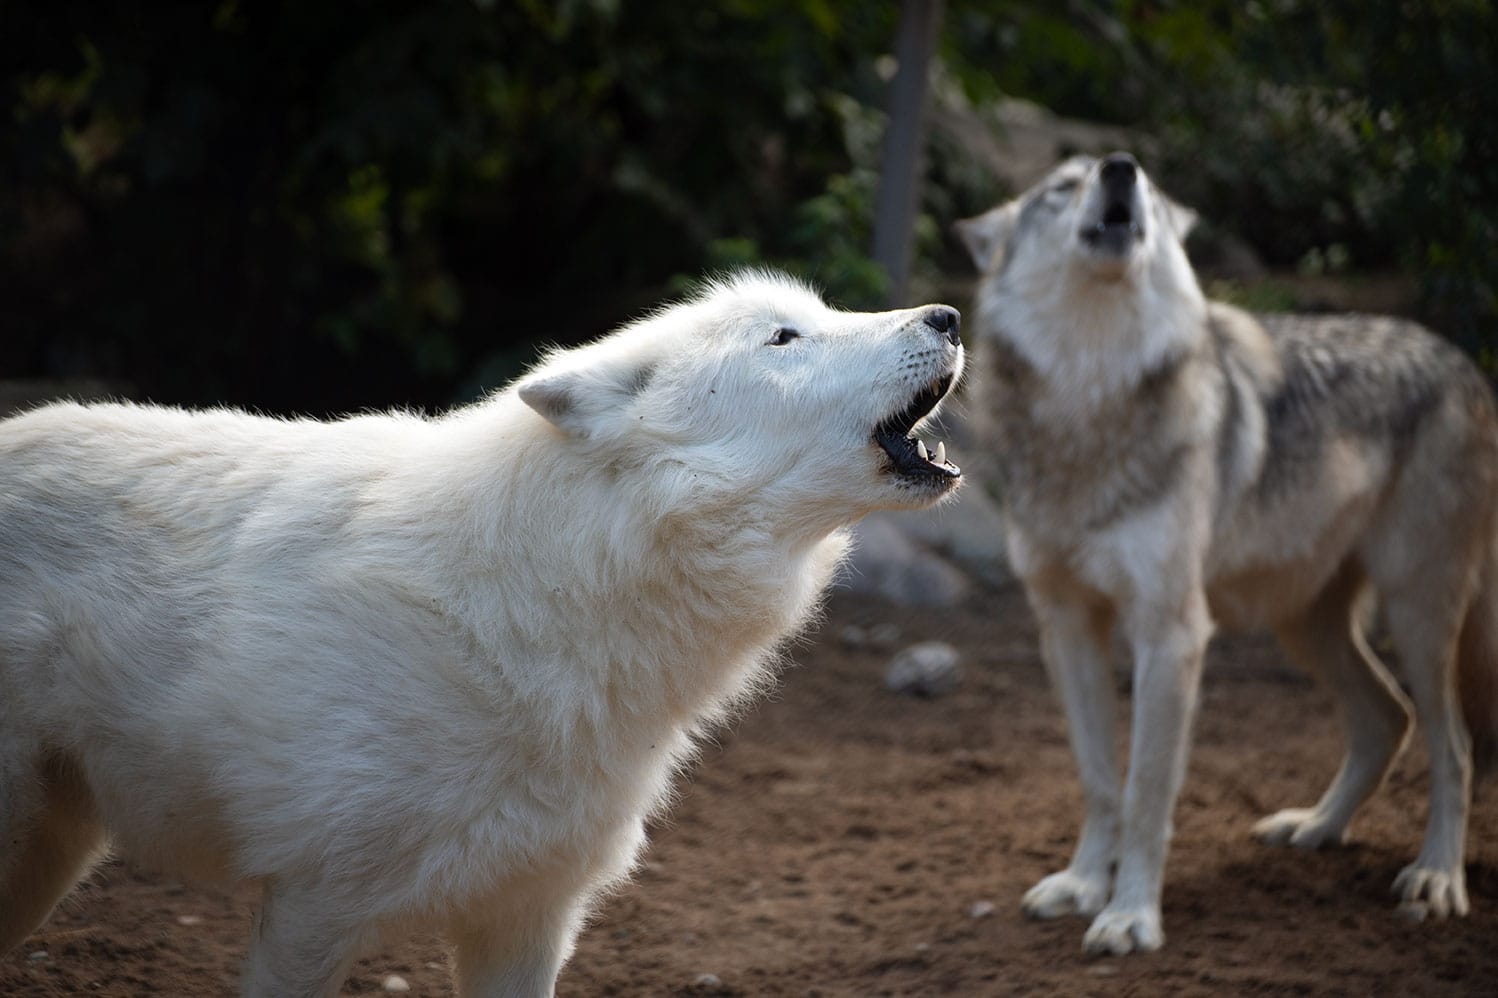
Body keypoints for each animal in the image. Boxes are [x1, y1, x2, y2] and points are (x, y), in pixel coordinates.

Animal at [0, 271, 964, 996]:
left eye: (820, 314)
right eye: (784, 338)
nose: (950, 315)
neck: (525, 601)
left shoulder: (529, 918)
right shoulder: (313, 906)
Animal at [956, 153, 1498, 955]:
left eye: (1147, 190)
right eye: (1061, 187)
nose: (1121, 168)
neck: (1092, 392)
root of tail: (1464, 363)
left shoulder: (1172, 634)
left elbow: (1147, 792)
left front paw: (1130, 915)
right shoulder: (1066, 627)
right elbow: (1099, 779)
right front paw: (1084, 886)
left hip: (1419, 616)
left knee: (1454, 745)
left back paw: (1436, 877)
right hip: (1305, 626)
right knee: (1387, 718)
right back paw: (1316, 828)